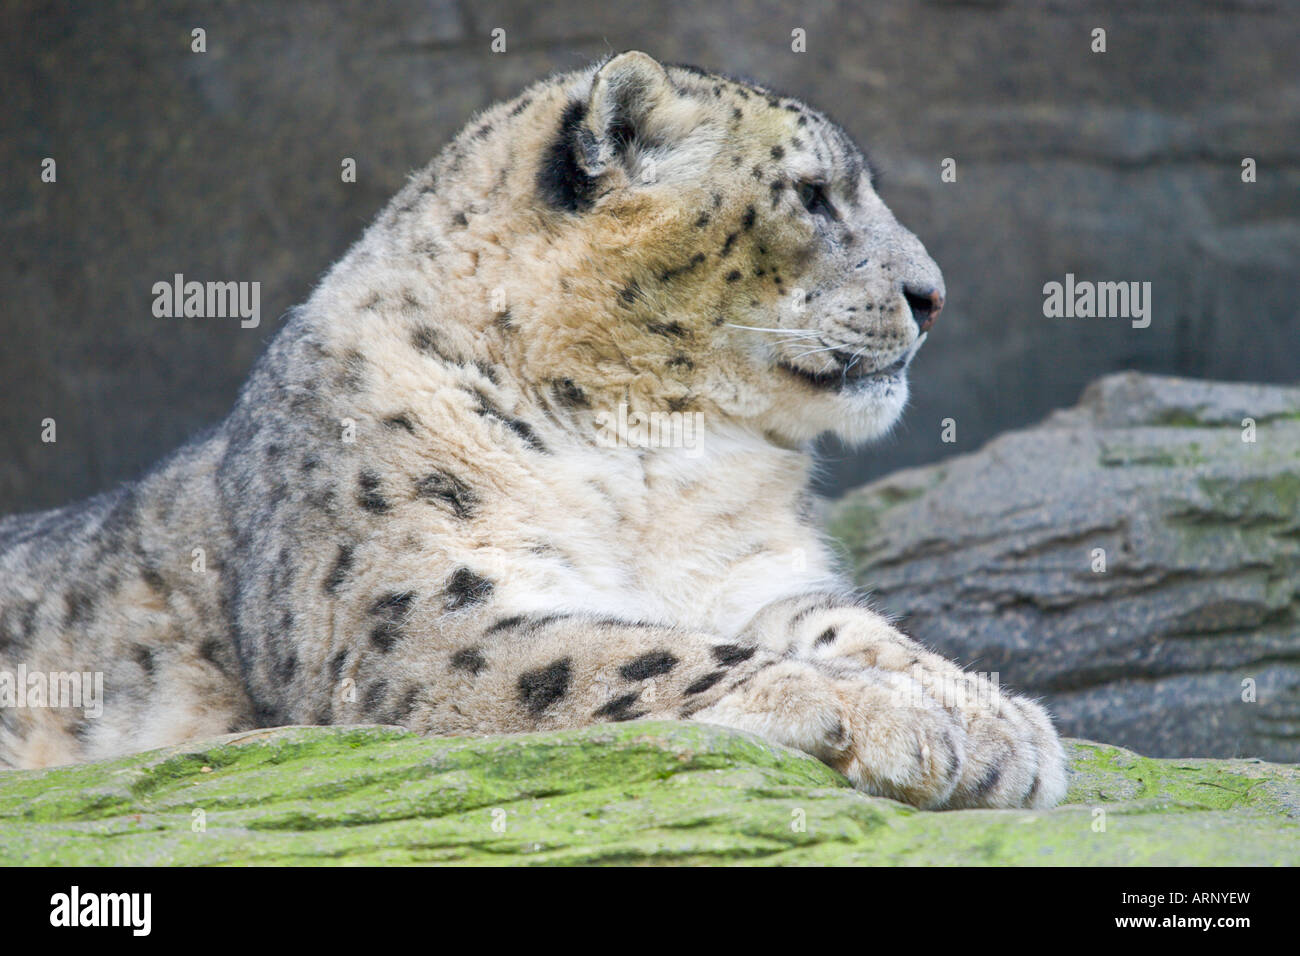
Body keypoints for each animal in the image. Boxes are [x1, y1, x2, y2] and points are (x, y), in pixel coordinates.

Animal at [0, 52, 1067, 810]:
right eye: (811, 194)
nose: (933, 295)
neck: (664, 459)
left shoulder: (751, 575)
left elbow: (848, 626)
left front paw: (992, 719)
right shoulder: (406, 613)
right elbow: (627, 651)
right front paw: (866, 710)